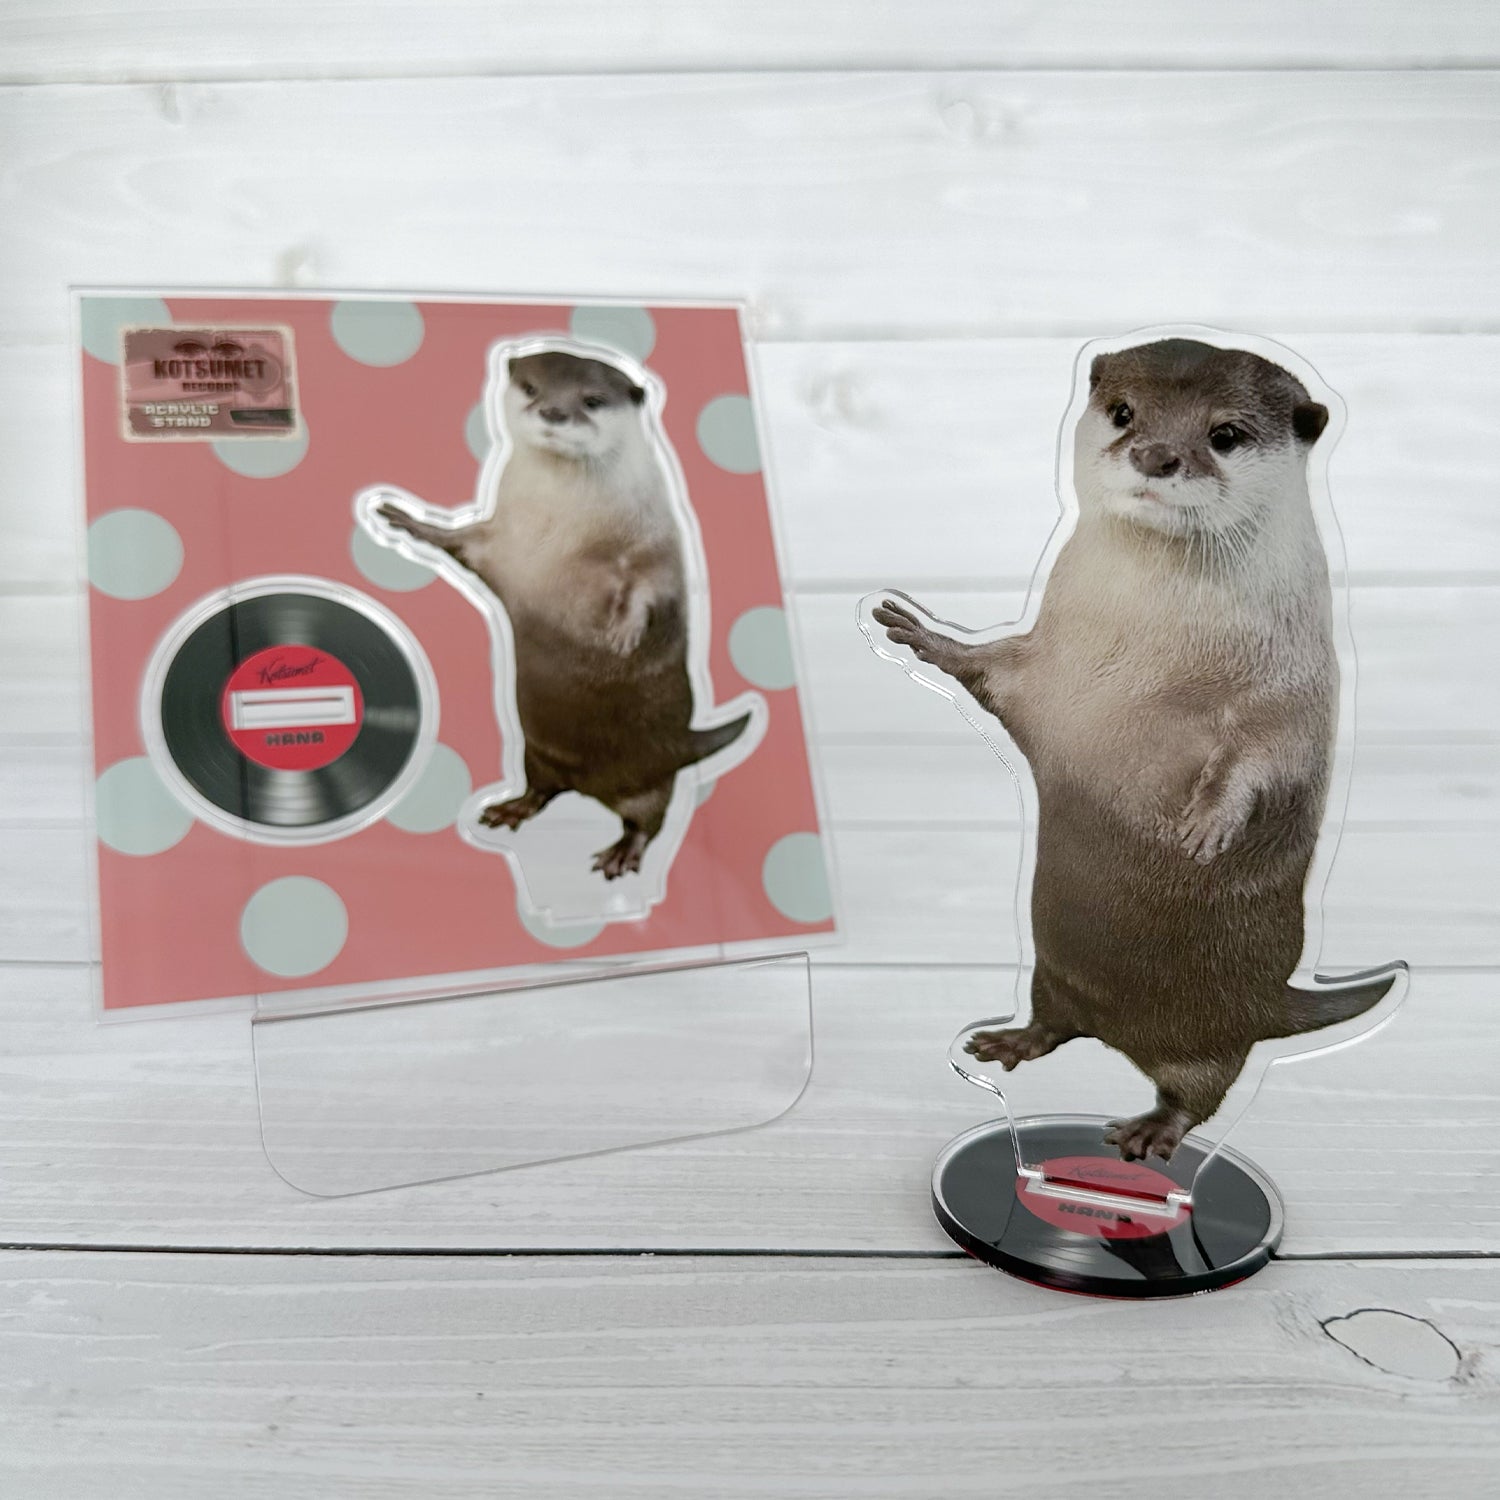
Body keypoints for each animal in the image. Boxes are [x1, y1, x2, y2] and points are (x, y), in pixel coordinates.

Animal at [373, 348, 748, 880]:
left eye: (592, 400)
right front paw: (408, 519)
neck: (559, 527)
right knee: (543, 788)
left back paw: (623, 853)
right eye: (531, 388)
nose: (552, 412)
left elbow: (649, 588)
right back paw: (511, 807)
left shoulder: (658, 545)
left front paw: (624, 632)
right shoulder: (499, 544)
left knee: (650, 819)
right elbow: (459, 539)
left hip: (649, 775)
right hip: (537, 754)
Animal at [874, 338, 1398, 1162]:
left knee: (1202, 1090)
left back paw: (1152, 1129)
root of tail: (1265, 1000)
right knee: (1057, 1020)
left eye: (1225, 434)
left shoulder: (1294, 691)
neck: (1146, 652)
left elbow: (1264, 755)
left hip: (1209, 1032)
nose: (1155, 453)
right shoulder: (1046, 676)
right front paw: (924, 635)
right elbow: (988, 668)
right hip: (1055, 969)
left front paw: (1209, 823)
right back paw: (1012, 1041)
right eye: (1123, 413)